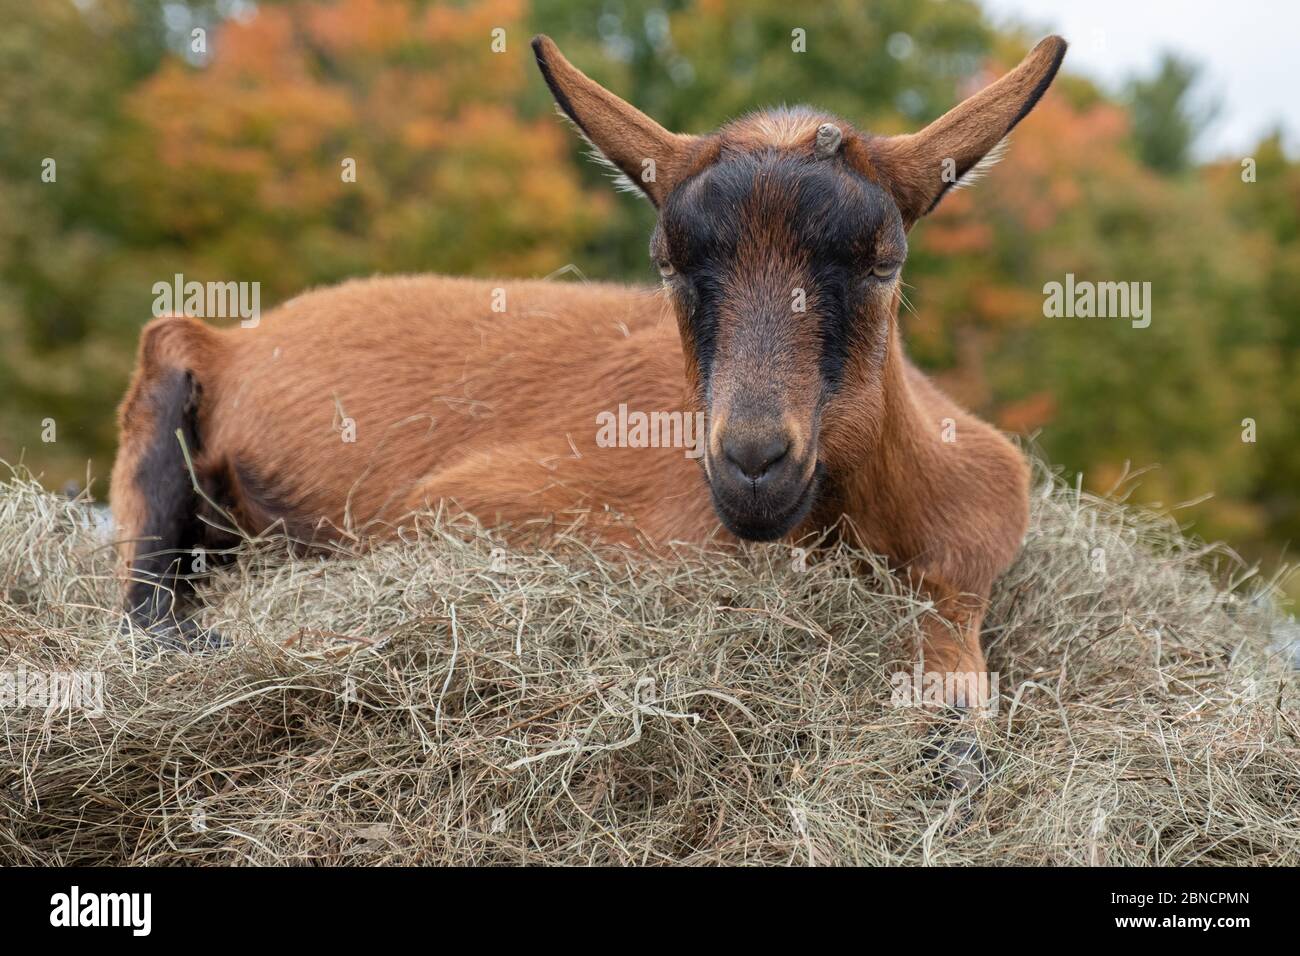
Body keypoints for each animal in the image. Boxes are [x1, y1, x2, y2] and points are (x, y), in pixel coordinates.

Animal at [111, 34, 1067, 778]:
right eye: (669, 260)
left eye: (882, 259)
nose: (754, 462)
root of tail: (242, 342)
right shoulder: (466, 509)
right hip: (174, 389)